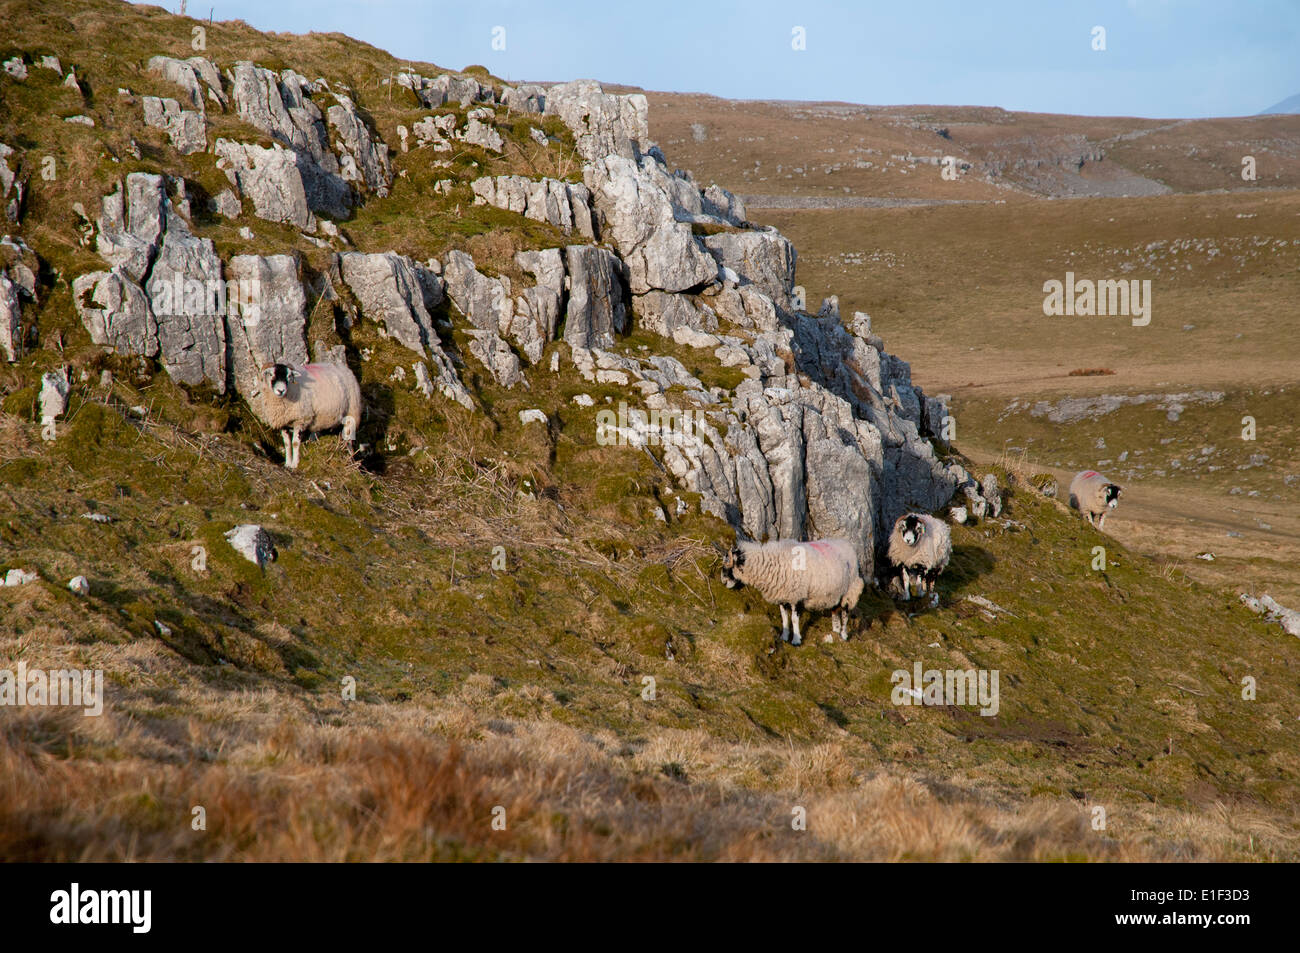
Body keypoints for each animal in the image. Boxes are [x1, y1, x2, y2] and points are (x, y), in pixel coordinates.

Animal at [719, 537, 864, 645]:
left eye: (729, 565)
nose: (723, 581)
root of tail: (847, 544)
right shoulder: (783, 597)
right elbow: (784, 618)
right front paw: (784, 637)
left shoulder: (797, 597)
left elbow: (794, 619)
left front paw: (796, 640)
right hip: (836, 593)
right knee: (835, 610)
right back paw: (835, 631)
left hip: (850, 590)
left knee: (845, 613)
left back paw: (844, 635)